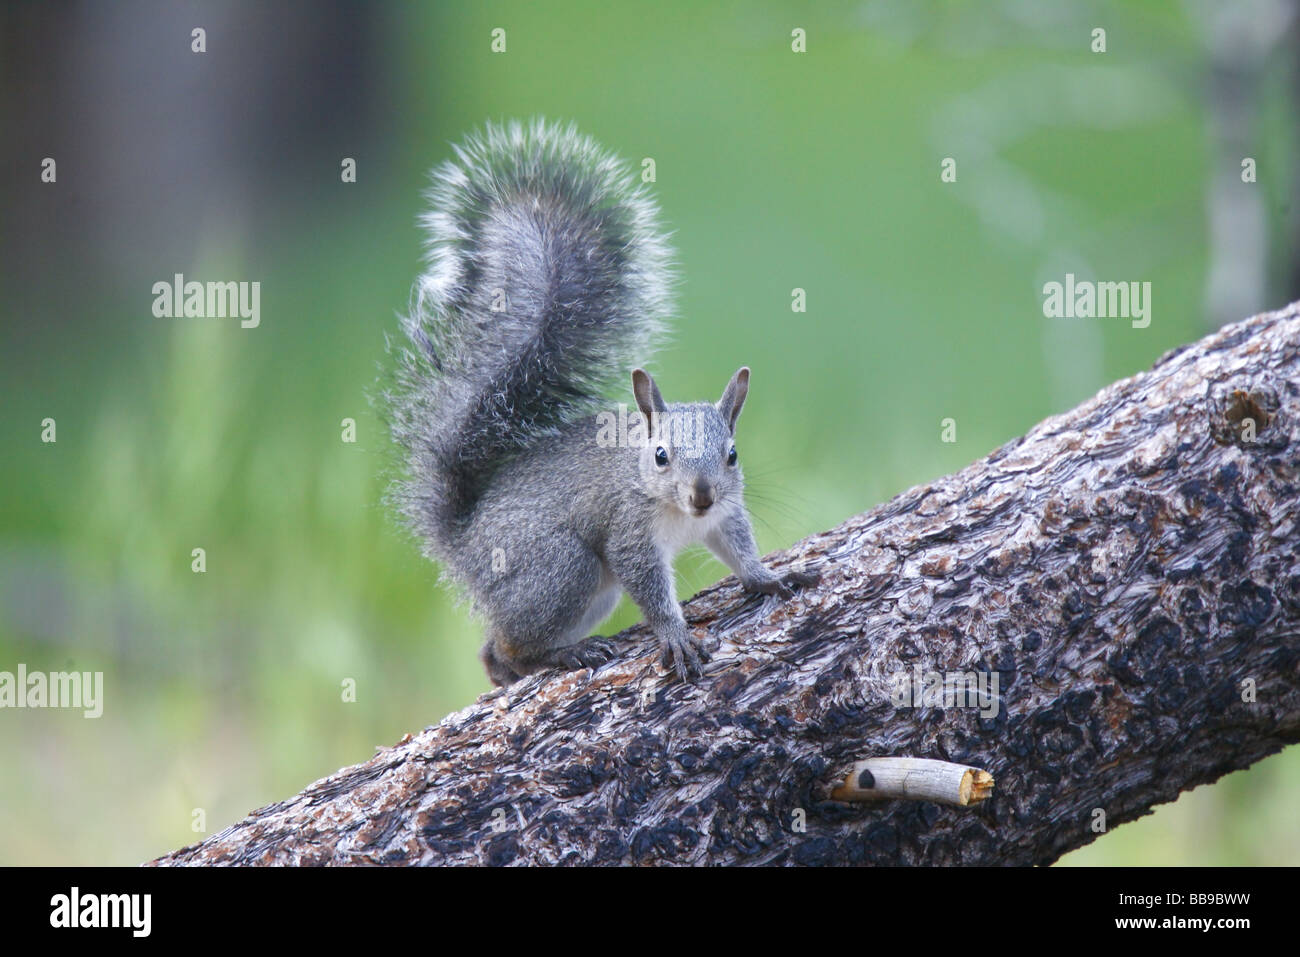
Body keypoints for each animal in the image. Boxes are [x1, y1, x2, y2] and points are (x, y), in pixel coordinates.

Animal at [387, 119, 814, 686]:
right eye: (661, 456)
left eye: (733, 454)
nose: (701, 495)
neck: (674, 507)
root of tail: (462, 544)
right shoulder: (628, 534)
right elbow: (651, 588)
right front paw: (676, 636)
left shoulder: (724, 515)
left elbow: (739, 547)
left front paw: (766, 577)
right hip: (562, 568)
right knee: (508, 646)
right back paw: (559, 655)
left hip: (594, 593)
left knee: (491, 656)